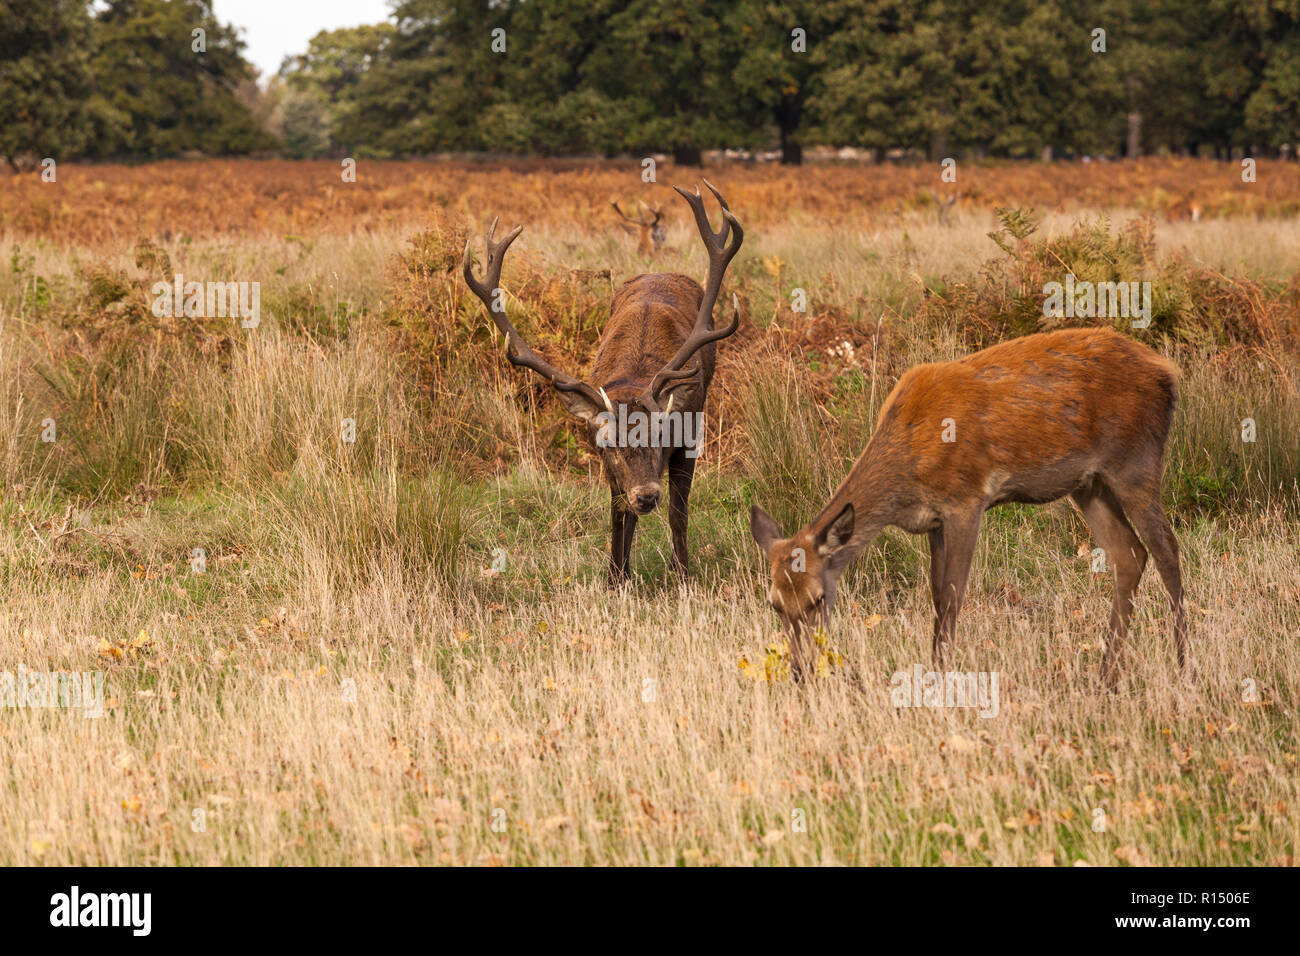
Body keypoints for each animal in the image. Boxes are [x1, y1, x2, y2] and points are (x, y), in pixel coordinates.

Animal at [464, 181, 743, 585]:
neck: (635, 375)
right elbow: (618, 514)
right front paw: (615, 578)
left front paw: (682, 576)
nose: (647, 495)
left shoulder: (690, 434)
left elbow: (678, 512)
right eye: (609, 442)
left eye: (662, 433)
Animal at [749, 326, 1189, 689]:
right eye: (774, 604)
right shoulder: (932, 521)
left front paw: (943, 678)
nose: (800, 671)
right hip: (1089, 483)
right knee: (1129, 554)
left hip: (1136, 460)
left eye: (818, 599)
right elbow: (935, 596)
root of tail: (1167, 372)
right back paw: (1105, 678)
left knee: (1167, 549)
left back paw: (1183, 666)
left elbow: (952, 594)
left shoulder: (966, 500)